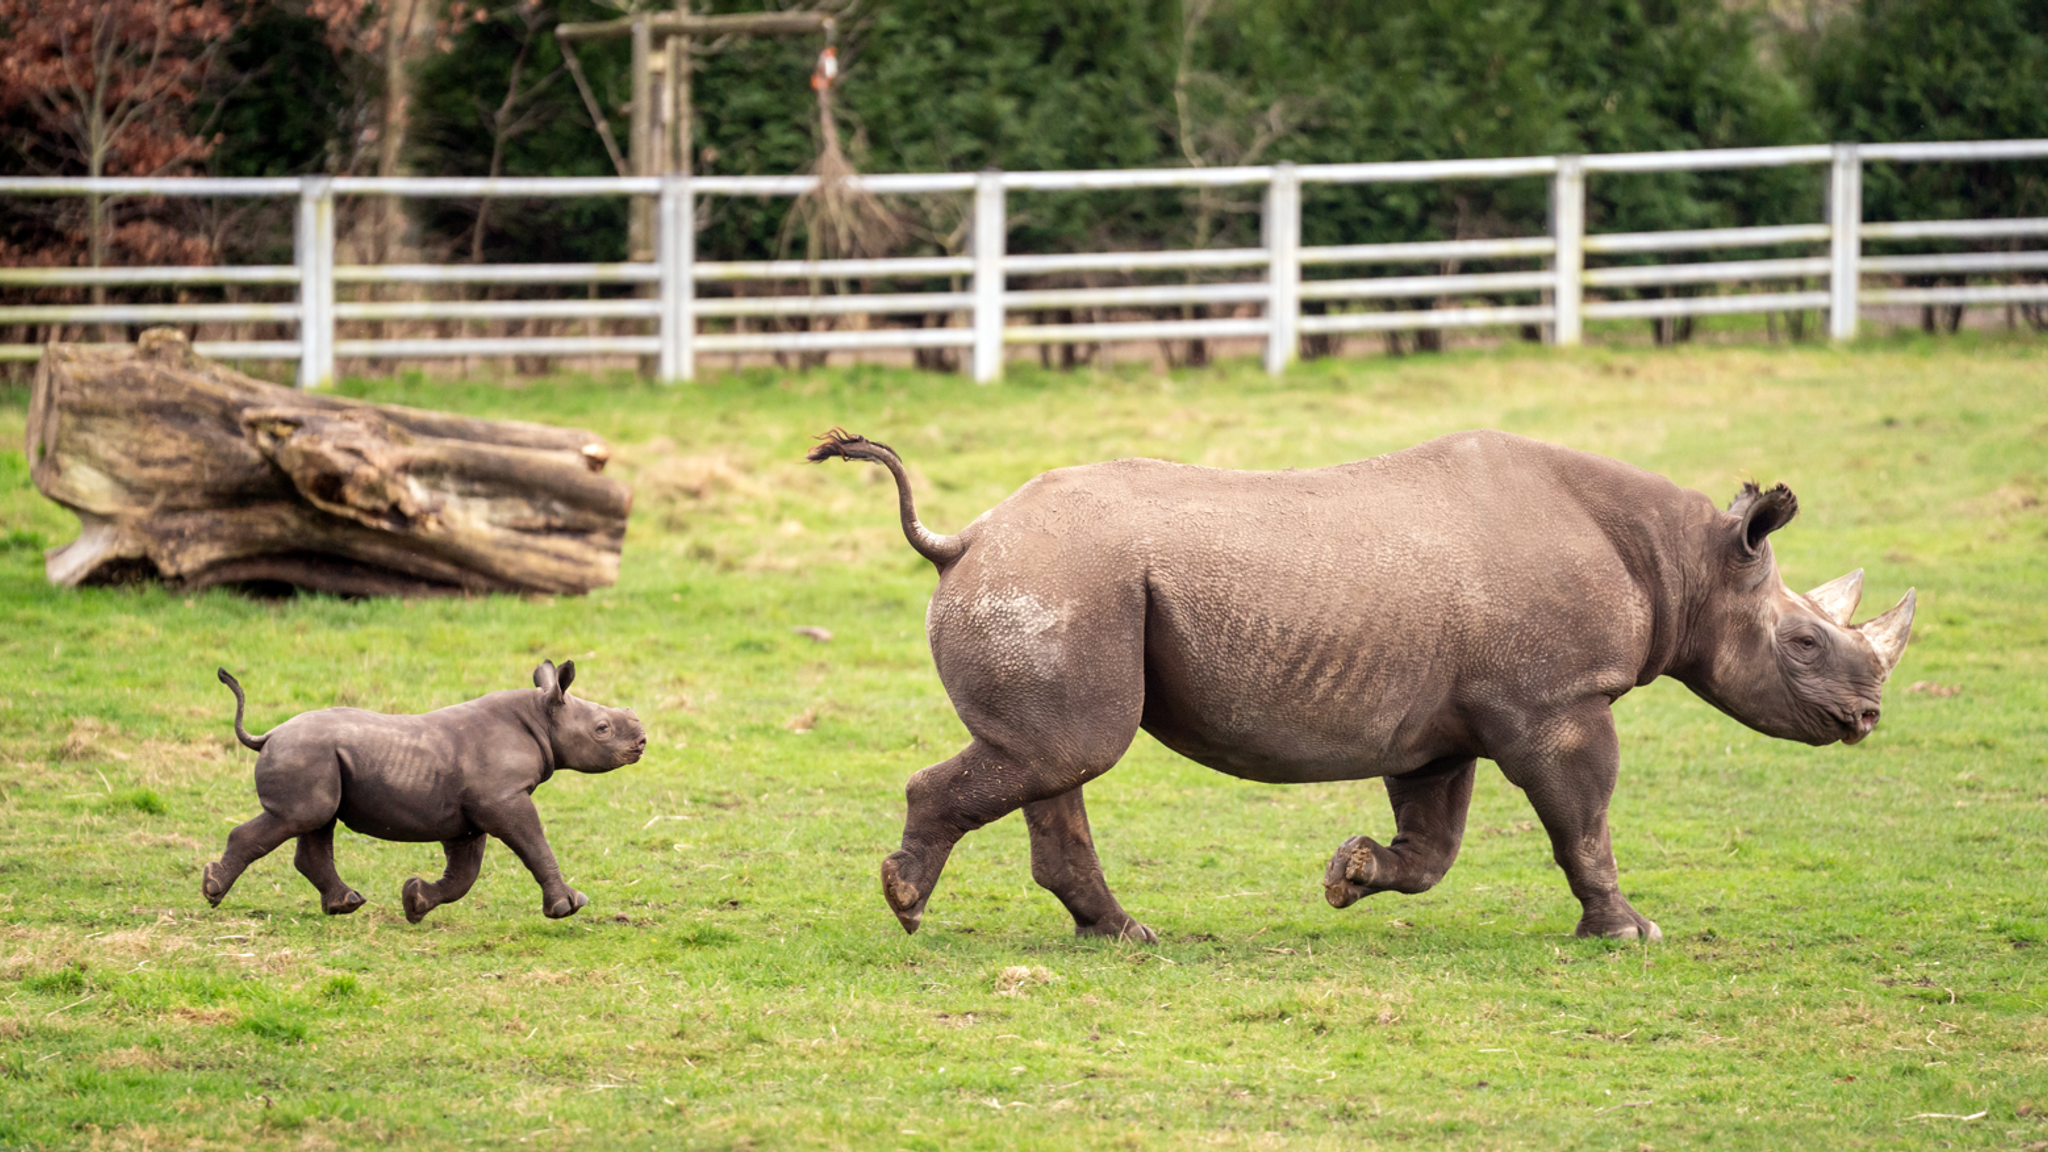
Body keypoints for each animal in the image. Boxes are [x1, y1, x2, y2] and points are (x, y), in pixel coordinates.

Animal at [809, 428, 1914, 942]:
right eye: (1803, 643)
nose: (1865, 717)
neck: (1684, 563)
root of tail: (963, 539)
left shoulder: (1448, 723)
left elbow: (1434, 845)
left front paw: (1349, 876)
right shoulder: (1556, 703)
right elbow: (1584, 821)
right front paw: (1628, 932)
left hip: (1058, 582)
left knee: (1054, 761)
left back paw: (1121, 935)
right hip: (1058, 579)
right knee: (1066, 753)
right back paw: (907, 904)